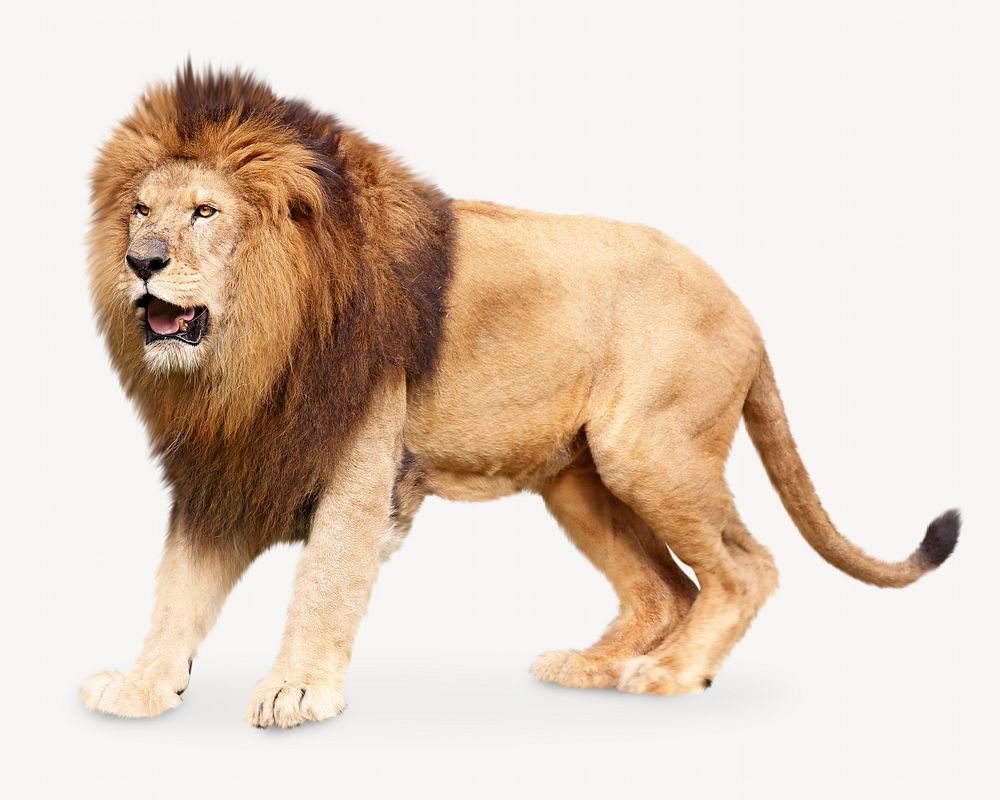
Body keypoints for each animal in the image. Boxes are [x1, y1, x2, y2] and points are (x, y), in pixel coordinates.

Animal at [80, 66, 959, 728]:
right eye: (140, 209)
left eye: (205, 211)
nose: (141, 260)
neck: (249, 352)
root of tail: (743, 306)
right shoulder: (226, 465)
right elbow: (177, 589)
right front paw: (143, 683)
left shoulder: (361, 460)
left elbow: (324, 581)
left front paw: (295, 691)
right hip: (581, 481)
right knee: (665, 588)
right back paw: (592, 665)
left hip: (649, 450)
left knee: (746, 567)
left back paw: (672, 673)